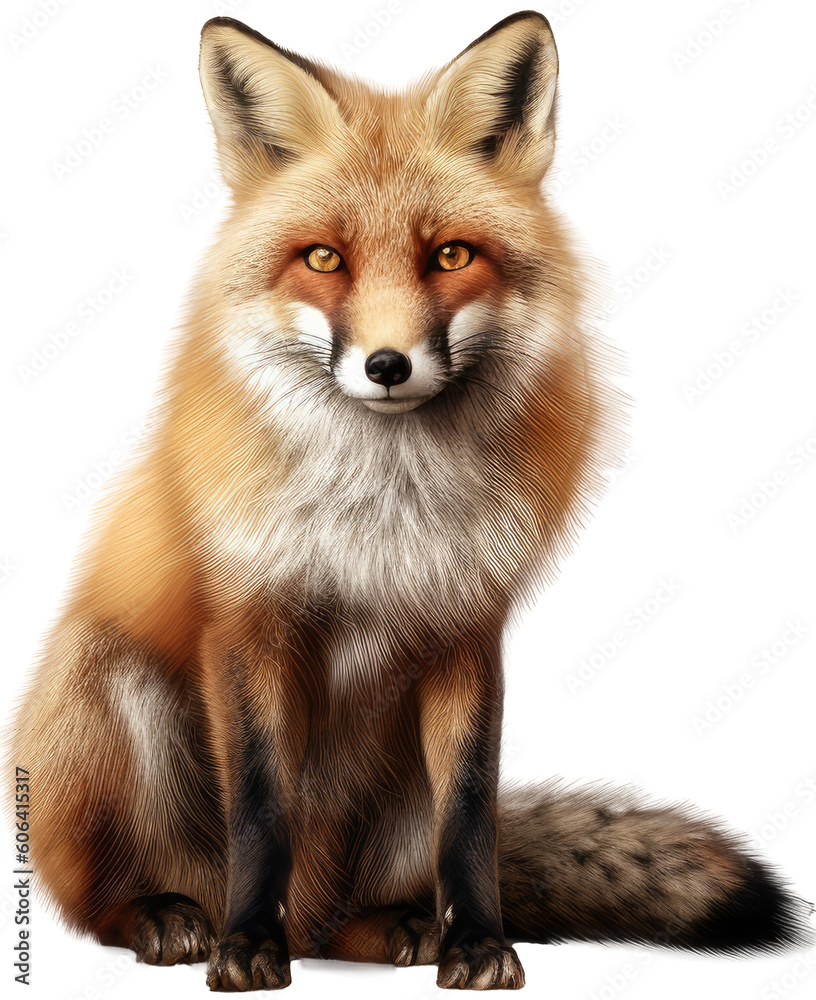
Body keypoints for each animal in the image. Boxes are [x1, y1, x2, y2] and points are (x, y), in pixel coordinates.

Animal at [7, 9, 808, 994]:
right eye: (323, 258)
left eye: (450, 256)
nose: (386, 365)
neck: (383, 522)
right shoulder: (248, 625)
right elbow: (260, 811)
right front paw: (247, 945)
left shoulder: (469, 631)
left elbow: (469, 821)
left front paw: (479, 946)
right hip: (112, 692)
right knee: (102, 900)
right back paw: (172, 916)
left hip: (390, 786)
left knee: (361, 908)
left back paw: (400, 928)